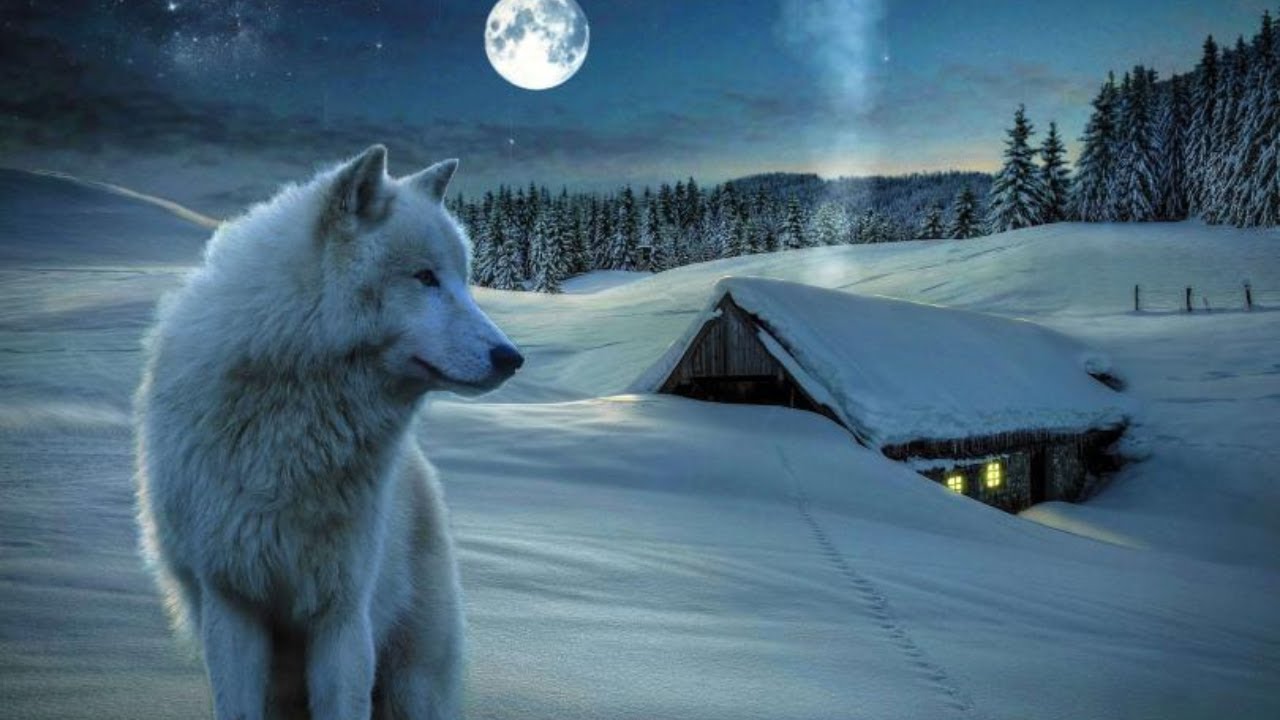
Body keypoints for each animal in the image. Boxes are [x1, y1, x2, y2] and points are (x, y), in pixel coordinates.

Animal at [134, 145, 521, 720]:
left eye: (462, 279)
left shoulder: (343, 614)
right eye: (425, 277)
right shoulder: (230, 602)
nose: (512, 358)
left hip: (413, 683)